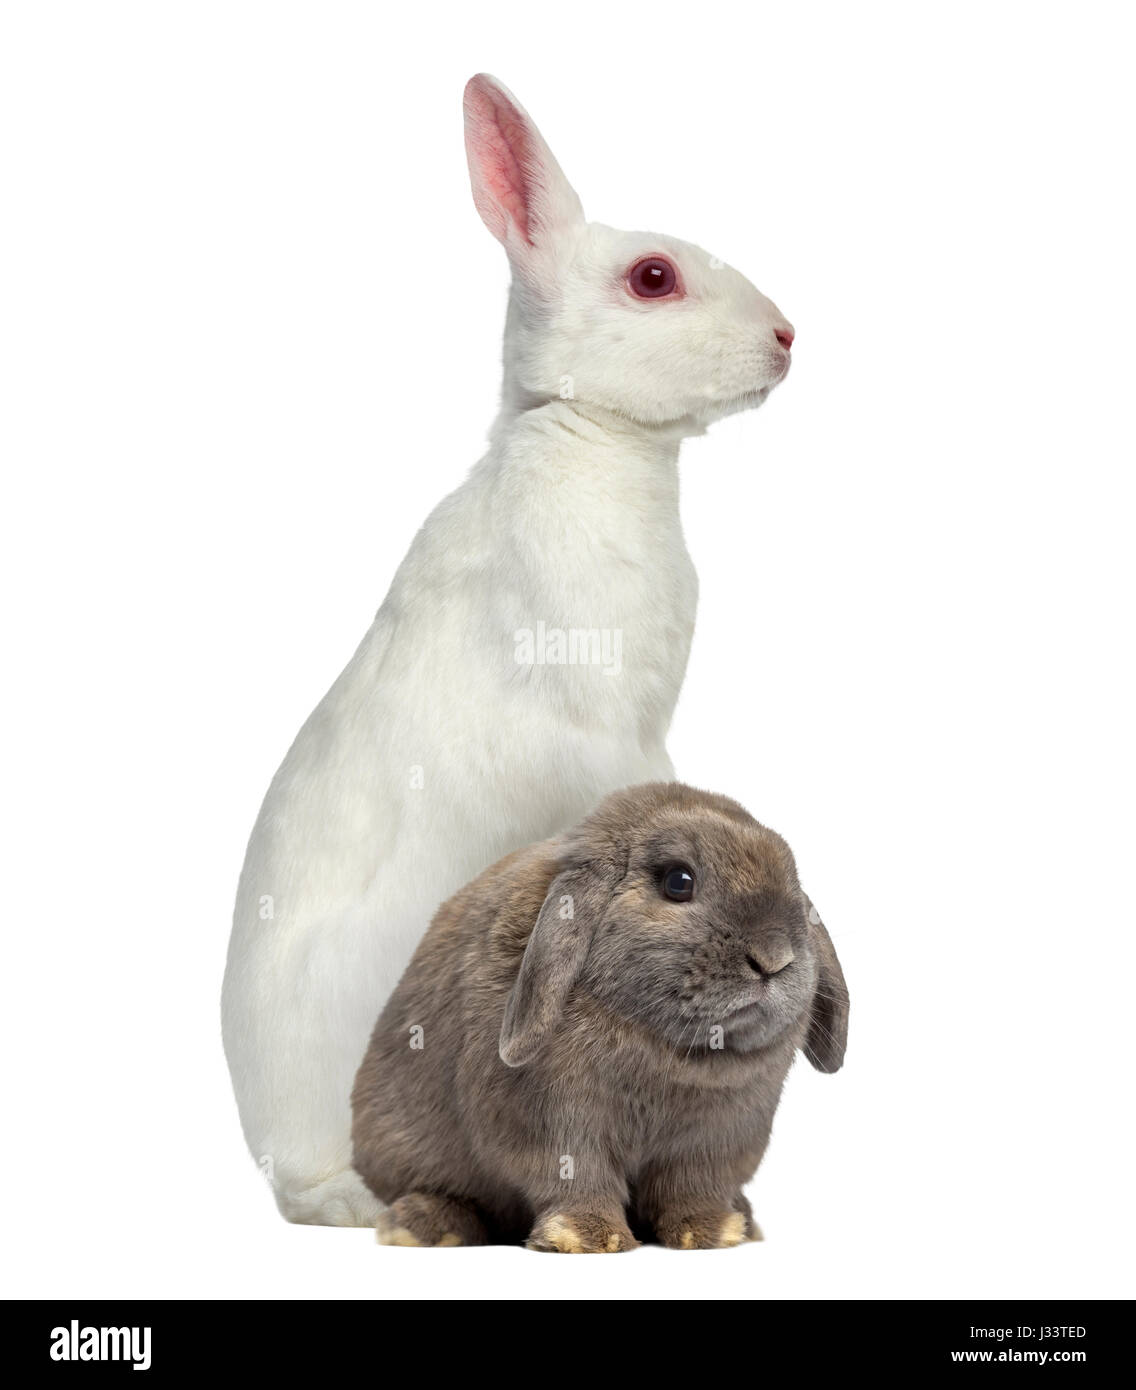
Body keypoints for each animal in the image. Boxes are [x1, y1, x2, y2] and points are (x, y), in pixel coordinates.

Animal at [351, 782, 848, 1251]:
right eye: (678, 881)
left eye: (792, 881)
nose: (774, 957)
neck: (673, 1053)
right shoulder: (556, 1124)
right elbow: (576, 1176)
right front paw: (587, 1238)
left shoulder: (715, 1140)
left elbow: (693, 1187)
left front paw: (712, 1232)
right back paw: (423, 1226)